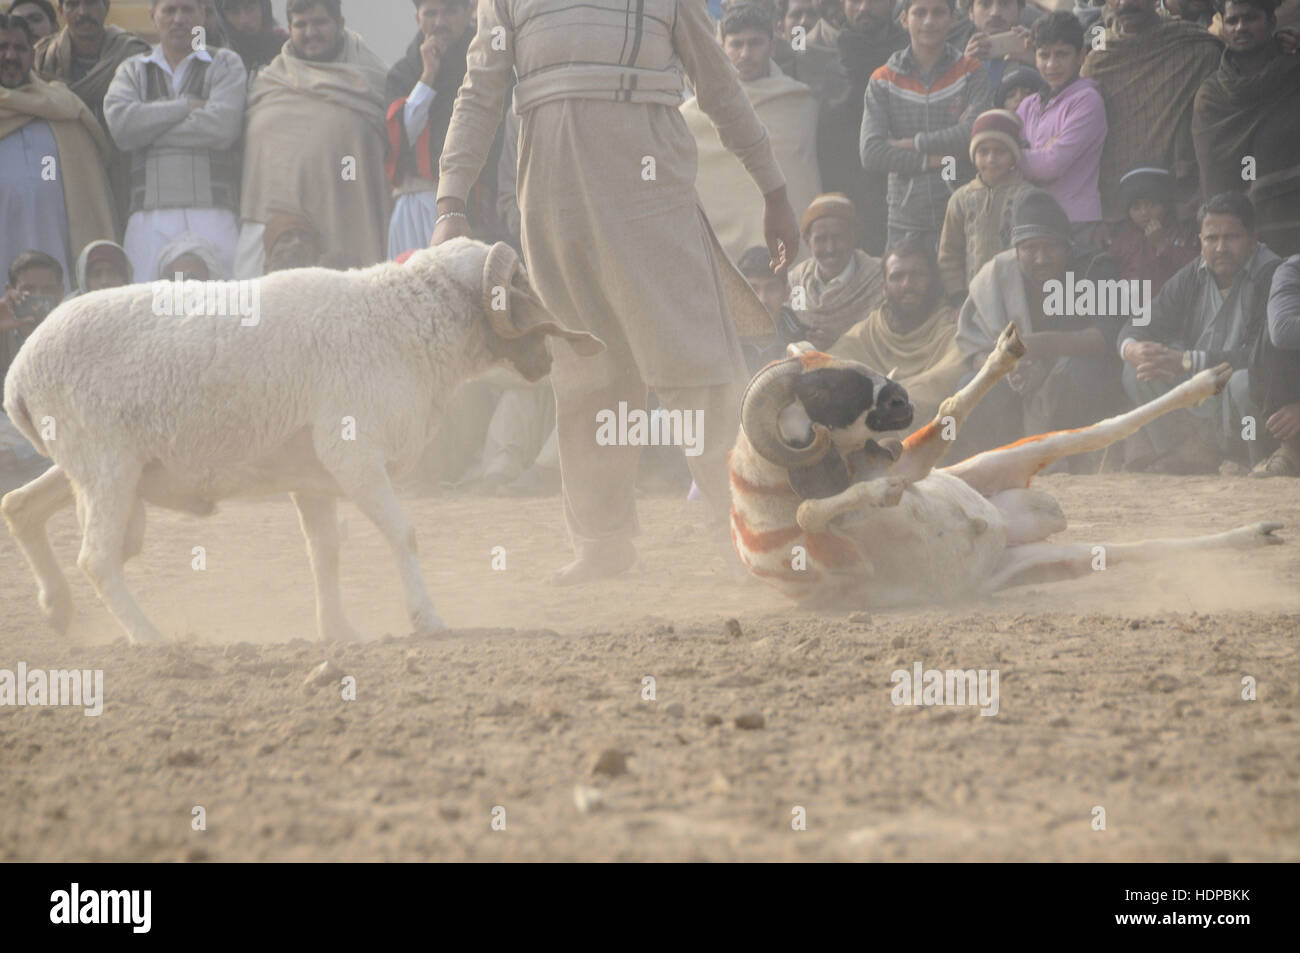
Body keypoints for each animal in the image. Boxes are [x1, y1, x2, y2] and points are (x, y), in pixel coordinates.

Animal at [1, 239, 603, 645]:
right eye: (518, 286)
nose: (547, 363)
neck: (399, 324)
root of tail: (19, 376)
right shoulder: (354, 456)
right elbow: (404, 535)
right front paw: (427, 619)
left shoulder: (313, 477)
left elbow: (325, 553)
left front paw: (337, 629)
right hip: (106, 466)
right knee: (97, 558)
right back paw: (148, 637)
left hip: (95, 467)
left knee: (21, 506)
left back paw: (56, 608)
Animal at [729, 323, 1283, 608]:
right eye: (821, 390)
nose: (901, 398)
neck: (762, 503)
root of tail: (1005, 526)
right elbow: (813, 513)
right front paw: (874, 496)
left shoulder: (908, 463)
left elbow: (950, 410)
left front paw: (1005, 352)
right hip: (1034, 562)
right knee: (1140, 547)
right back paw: (1257, 532)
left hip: (1005, 458)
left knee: (1104, 429)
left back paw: (1207, 383)